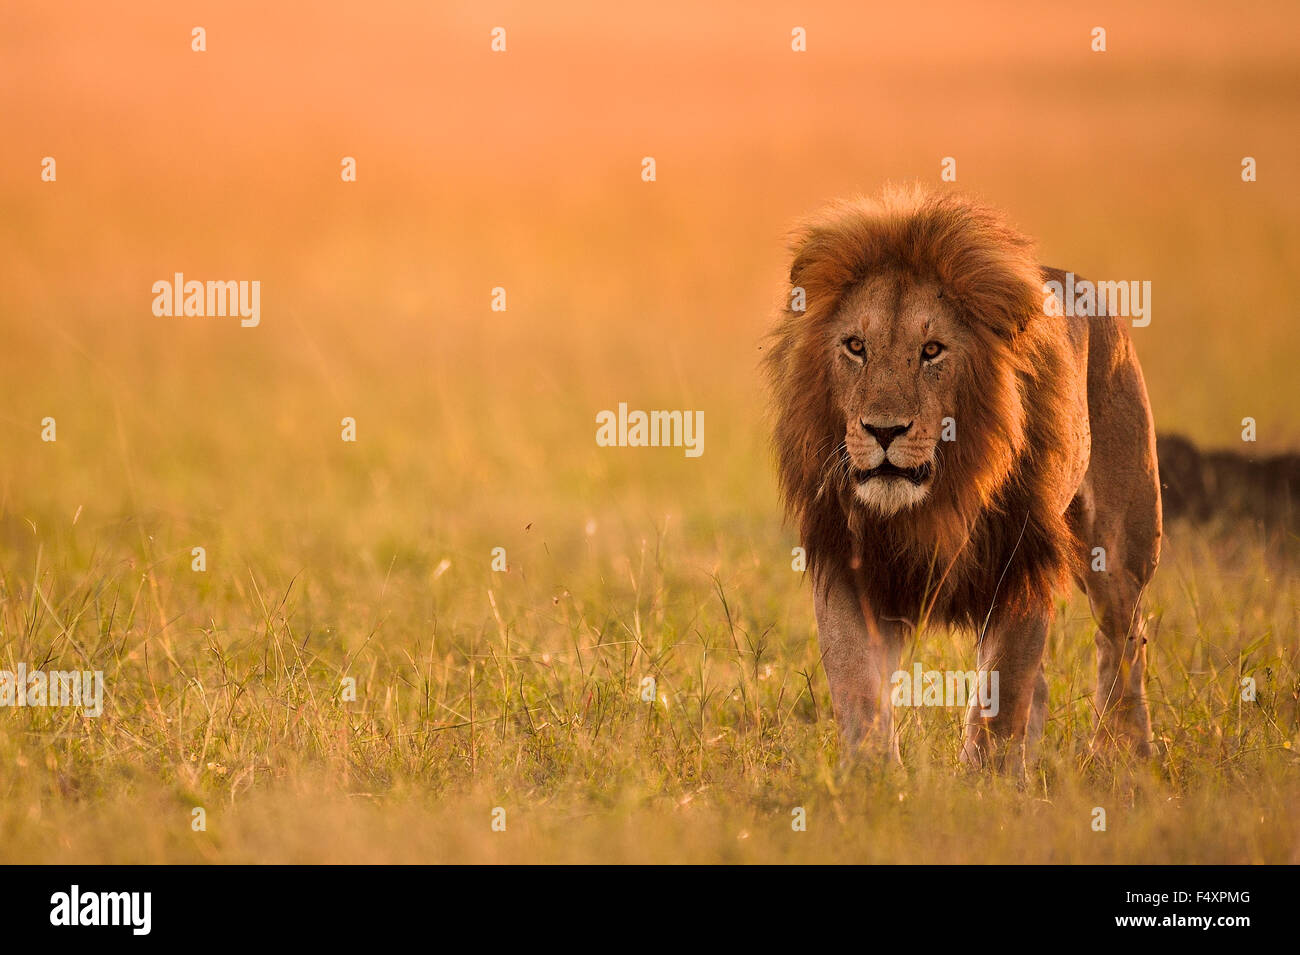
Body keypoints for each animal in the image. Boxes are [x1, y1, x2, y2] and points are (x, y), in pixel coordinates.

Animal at [764, 186, 1161, 770]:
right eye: (856, 346)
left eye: (932, 351)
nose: (884, 430)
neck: (937, 494)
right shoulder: (850, 566)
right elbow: (859, 686)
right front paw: (873, 777)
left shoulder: (1022, 561)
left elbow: (1004, 691)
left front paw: (985, 781)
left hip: (1122, 549)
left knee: (1123, 641)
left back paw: (1123, 755)